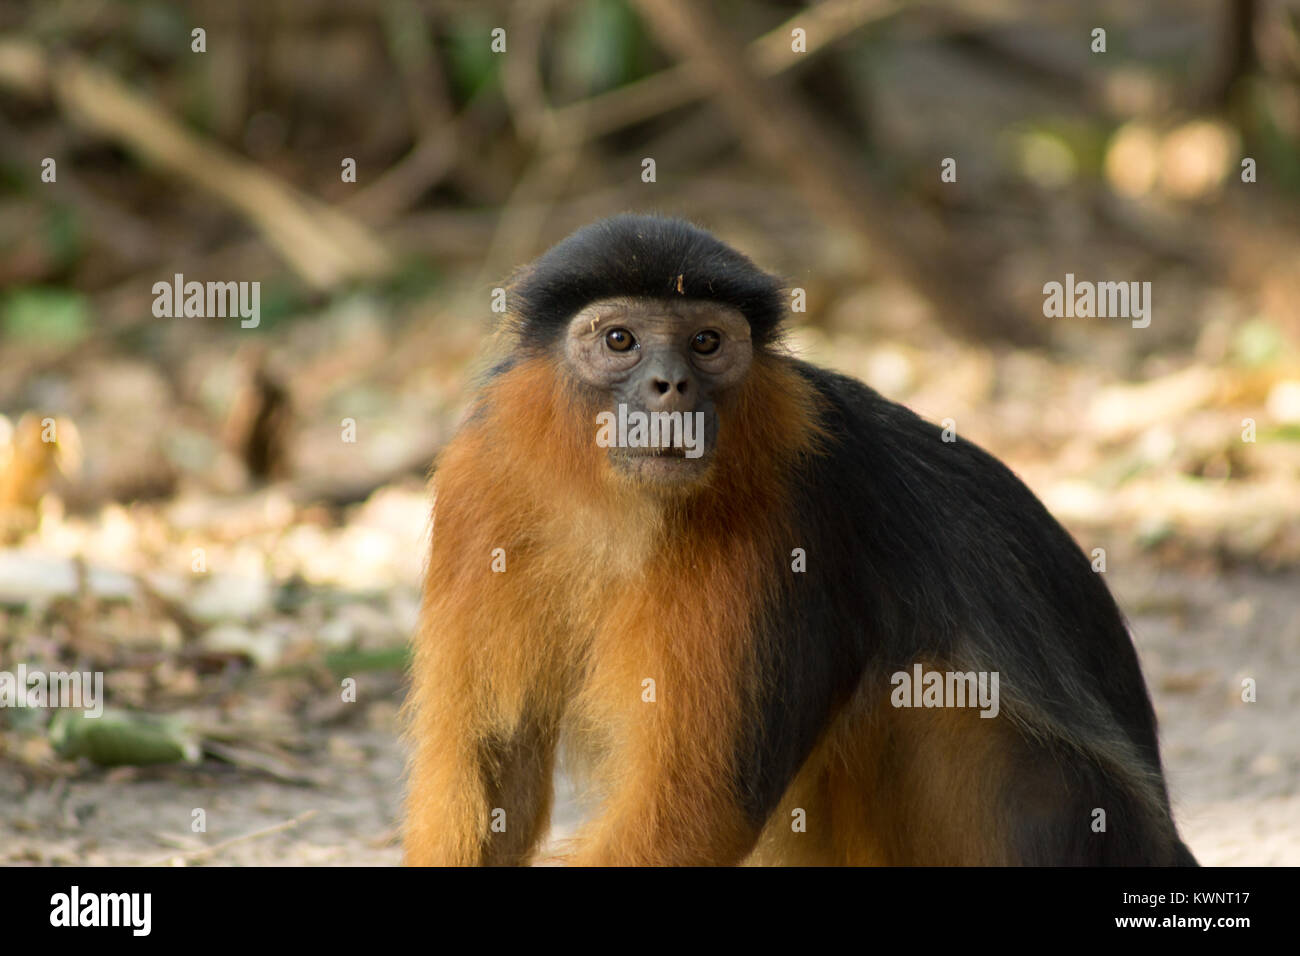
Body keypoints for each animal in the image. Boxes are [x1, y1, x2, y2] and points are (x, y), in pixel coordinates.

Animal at [402, 213, 1197, 866]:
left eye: (706, 343)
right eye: (620, 341)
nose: (671, 385)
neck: (621, 509)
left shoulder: (788, 516)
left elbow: (702, 801)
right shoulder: (485, 477)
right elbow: (496, 767)